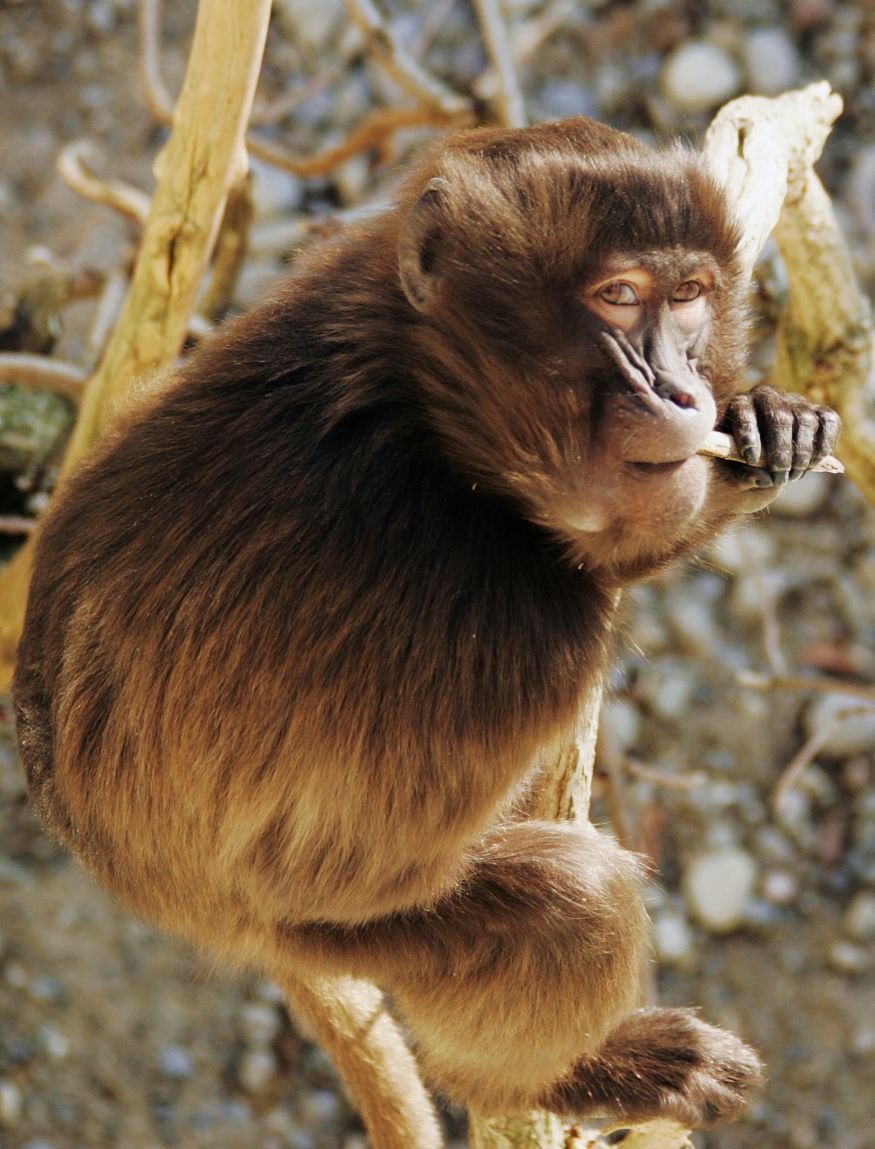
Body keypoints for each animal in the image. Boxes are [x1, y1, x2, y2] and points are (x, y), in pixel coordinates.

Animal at [13, 116, 840, 1135]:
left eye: (688, 298)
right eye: (617, 297)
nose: (683, 392)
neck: (429, 417)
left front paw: (768, 420)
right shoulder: (521, 628)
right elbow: (362, 872)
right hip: (287, 930)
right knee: (564, 902)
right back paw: (554, 1080)